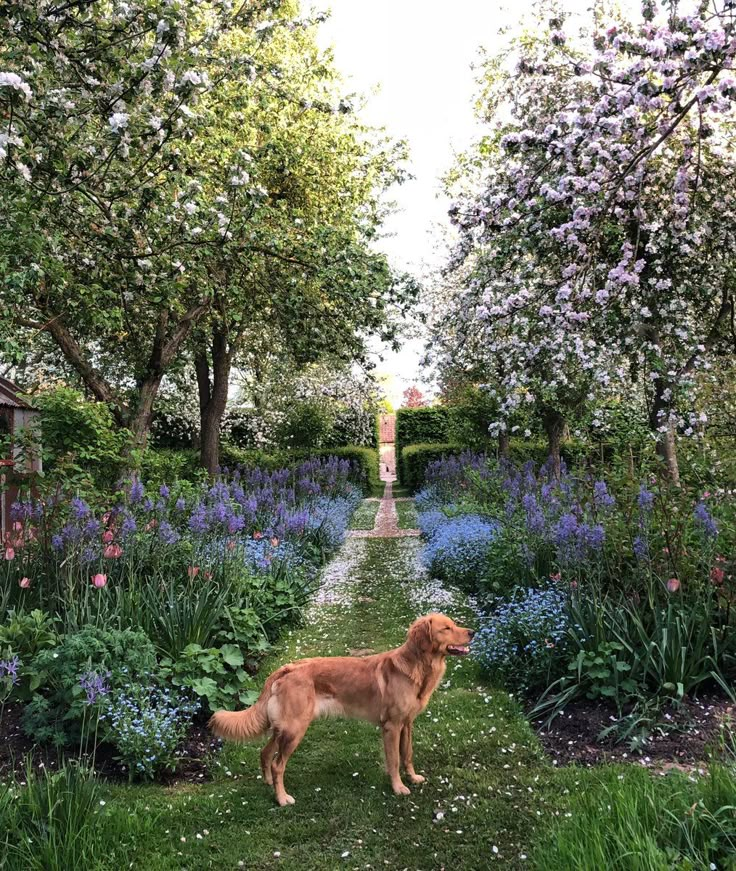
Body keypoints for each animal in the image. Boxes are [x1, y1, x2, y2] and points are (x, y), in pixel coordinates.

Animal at [208, 616, 472, 808]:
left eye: (453, 624)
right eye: (447, 627)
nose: (472, 632)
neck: (417, 666)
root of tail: (287, 667)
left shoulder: (407, 724)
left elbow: (407, 754)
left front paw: (413, 778)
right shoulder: (391, 726)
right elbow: (394, 760)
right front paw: (398, 787)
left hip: (283, 728)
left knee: (265, 754)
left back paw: (269, 785)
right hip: (295, 729)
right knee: (277, 764)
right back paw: (282, 798)